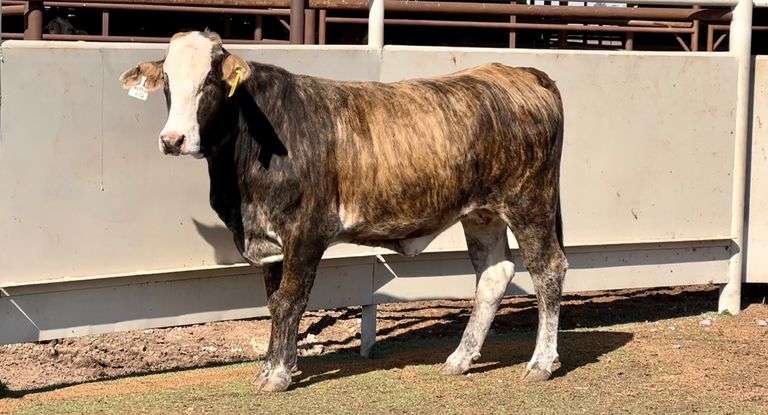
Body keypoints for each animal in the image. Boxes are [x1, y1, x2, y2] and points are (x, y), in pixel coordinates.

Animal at [119, 31, 568, 392]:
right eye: (168, 83)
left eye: (209, 82)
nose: (173, 140)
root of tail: (521, 74)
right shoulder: (271, 241)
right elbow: (274, 301)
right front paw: (276, 366)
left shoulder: (305, 233)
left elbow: (291, 299)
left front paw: (277, 375)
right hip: (482, 214)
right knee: (494, 274)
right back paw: (460, 359)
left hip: (530, 201)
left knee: (548, 269)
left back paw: (541, 363)